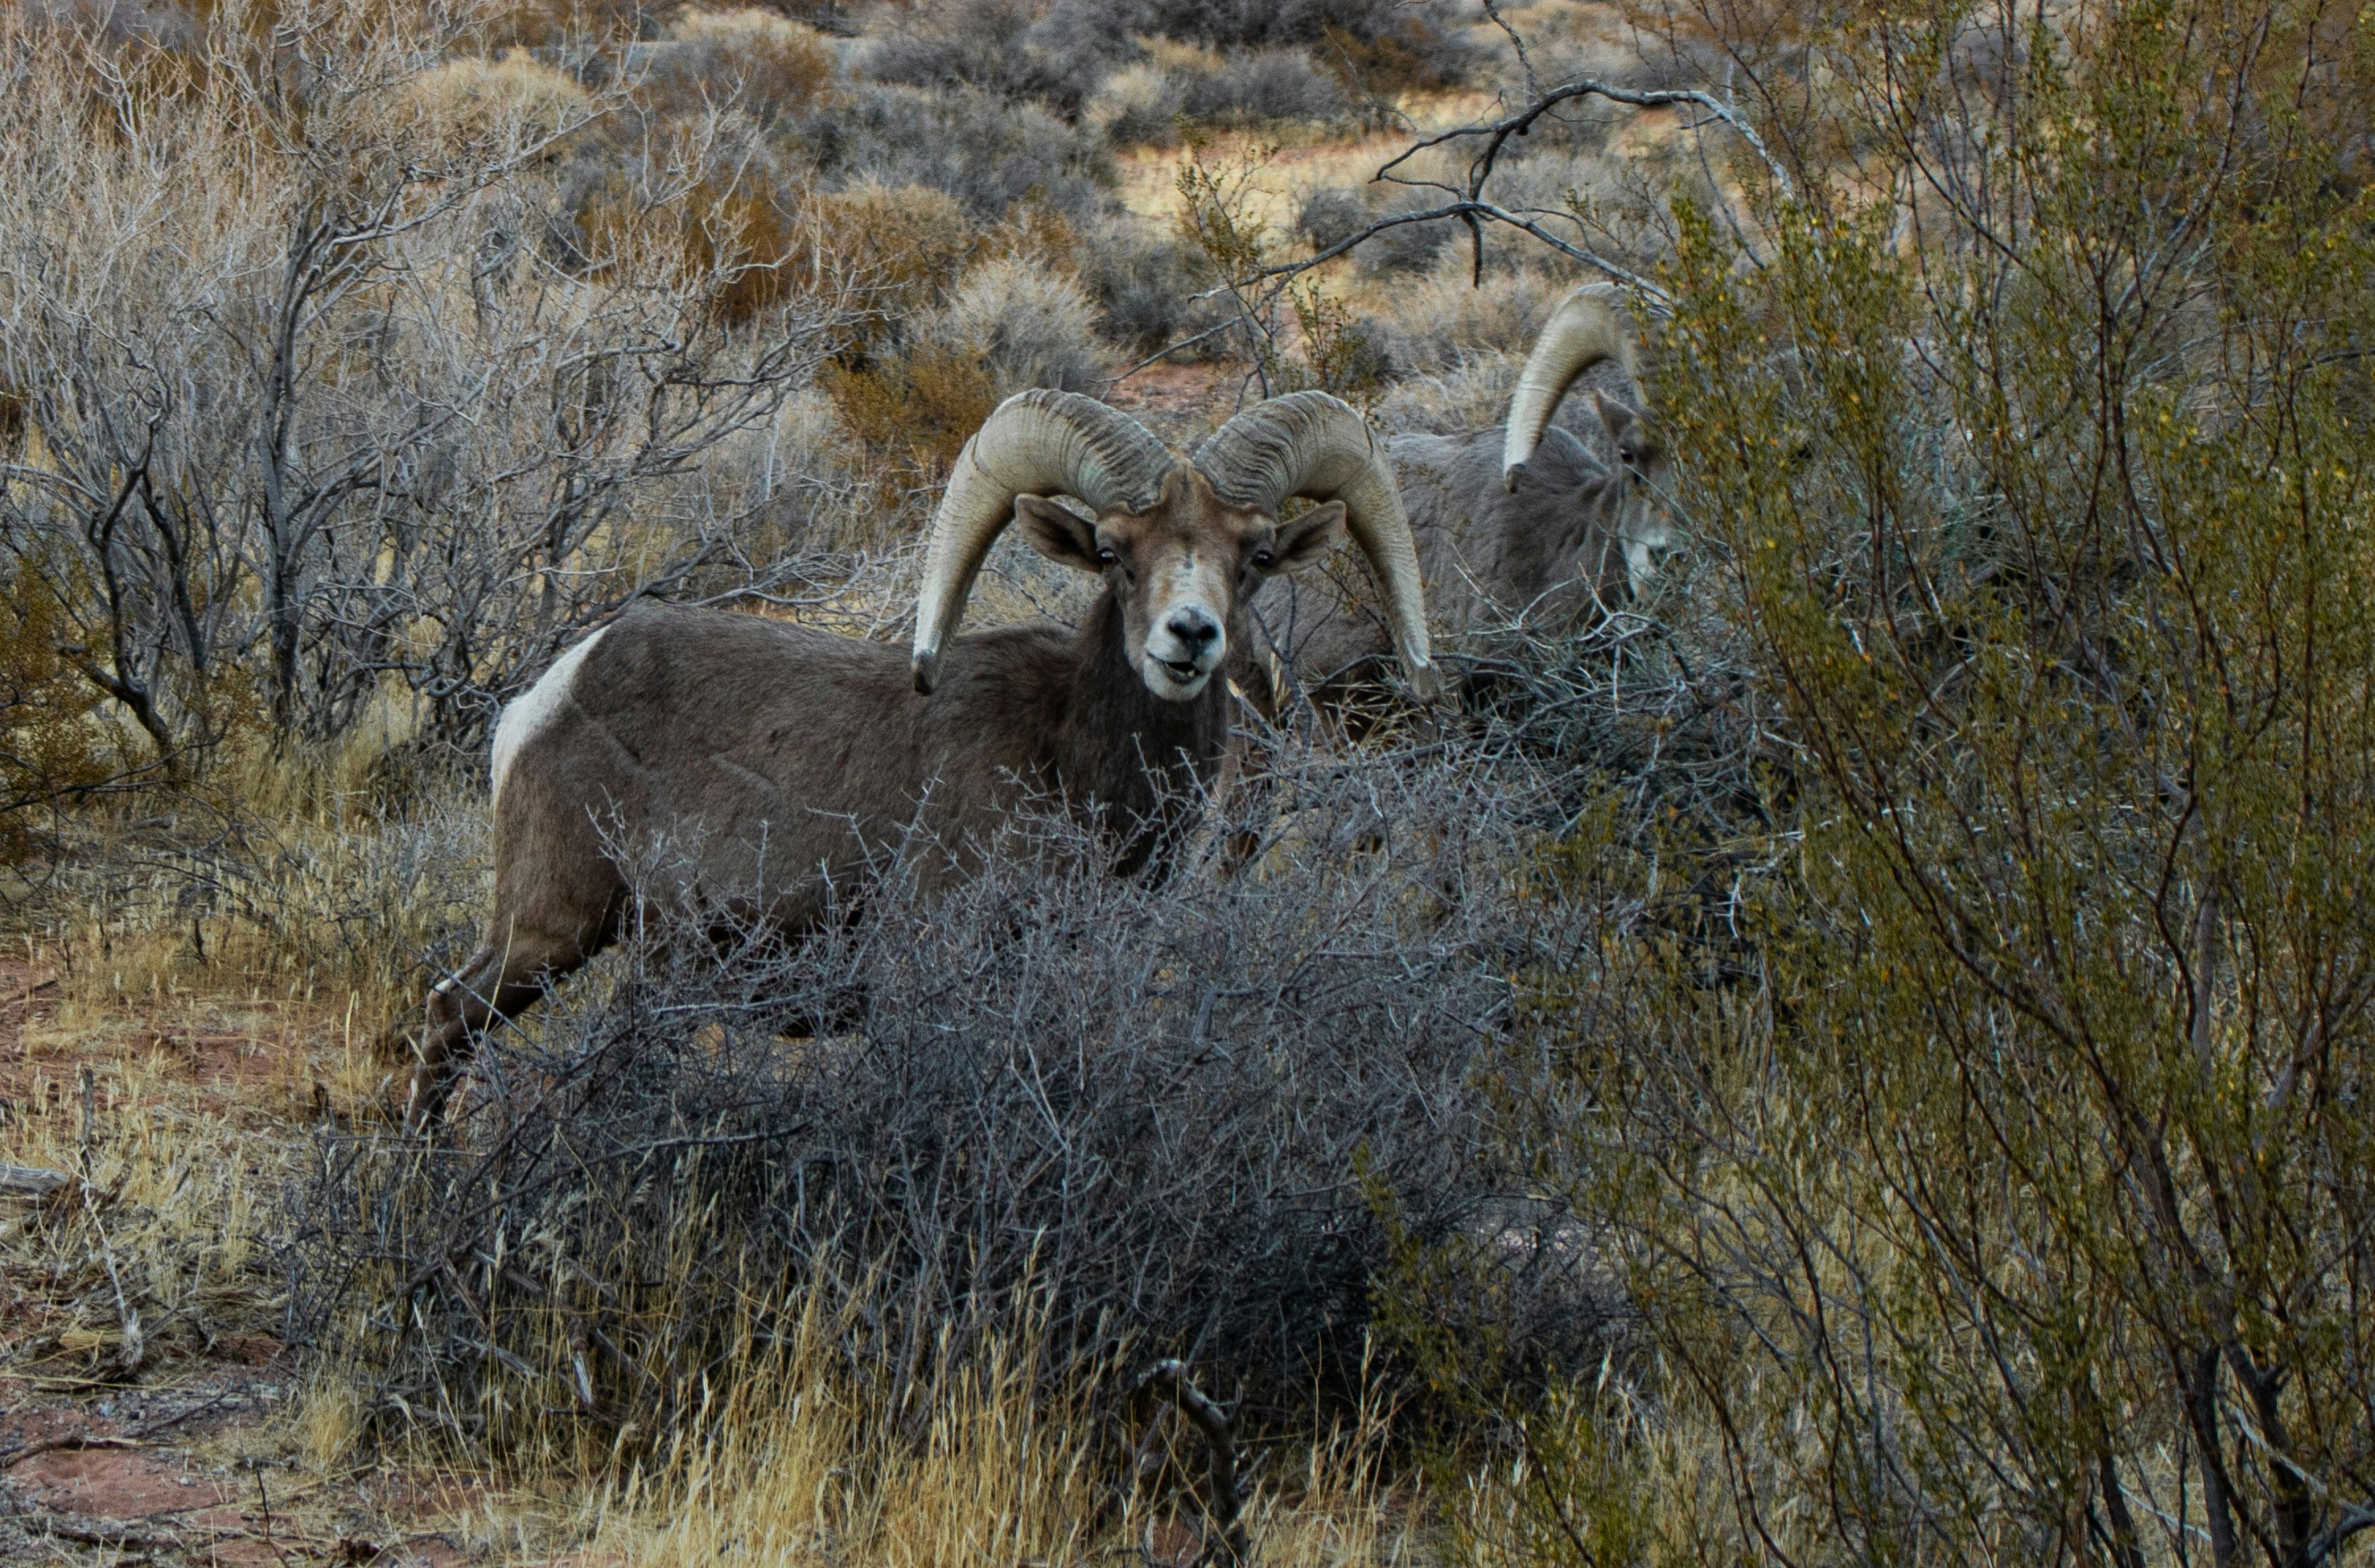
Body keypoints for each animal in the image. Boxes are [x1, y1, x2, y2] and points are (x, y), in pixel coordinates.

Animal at [394, 388, 1434, 1126]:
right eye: (1111, 551)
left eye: (1252, 556)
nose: (1189, 636)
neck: (1070, 770)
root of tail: (549, 693)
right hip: (552, 925)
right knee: (448, 1019)